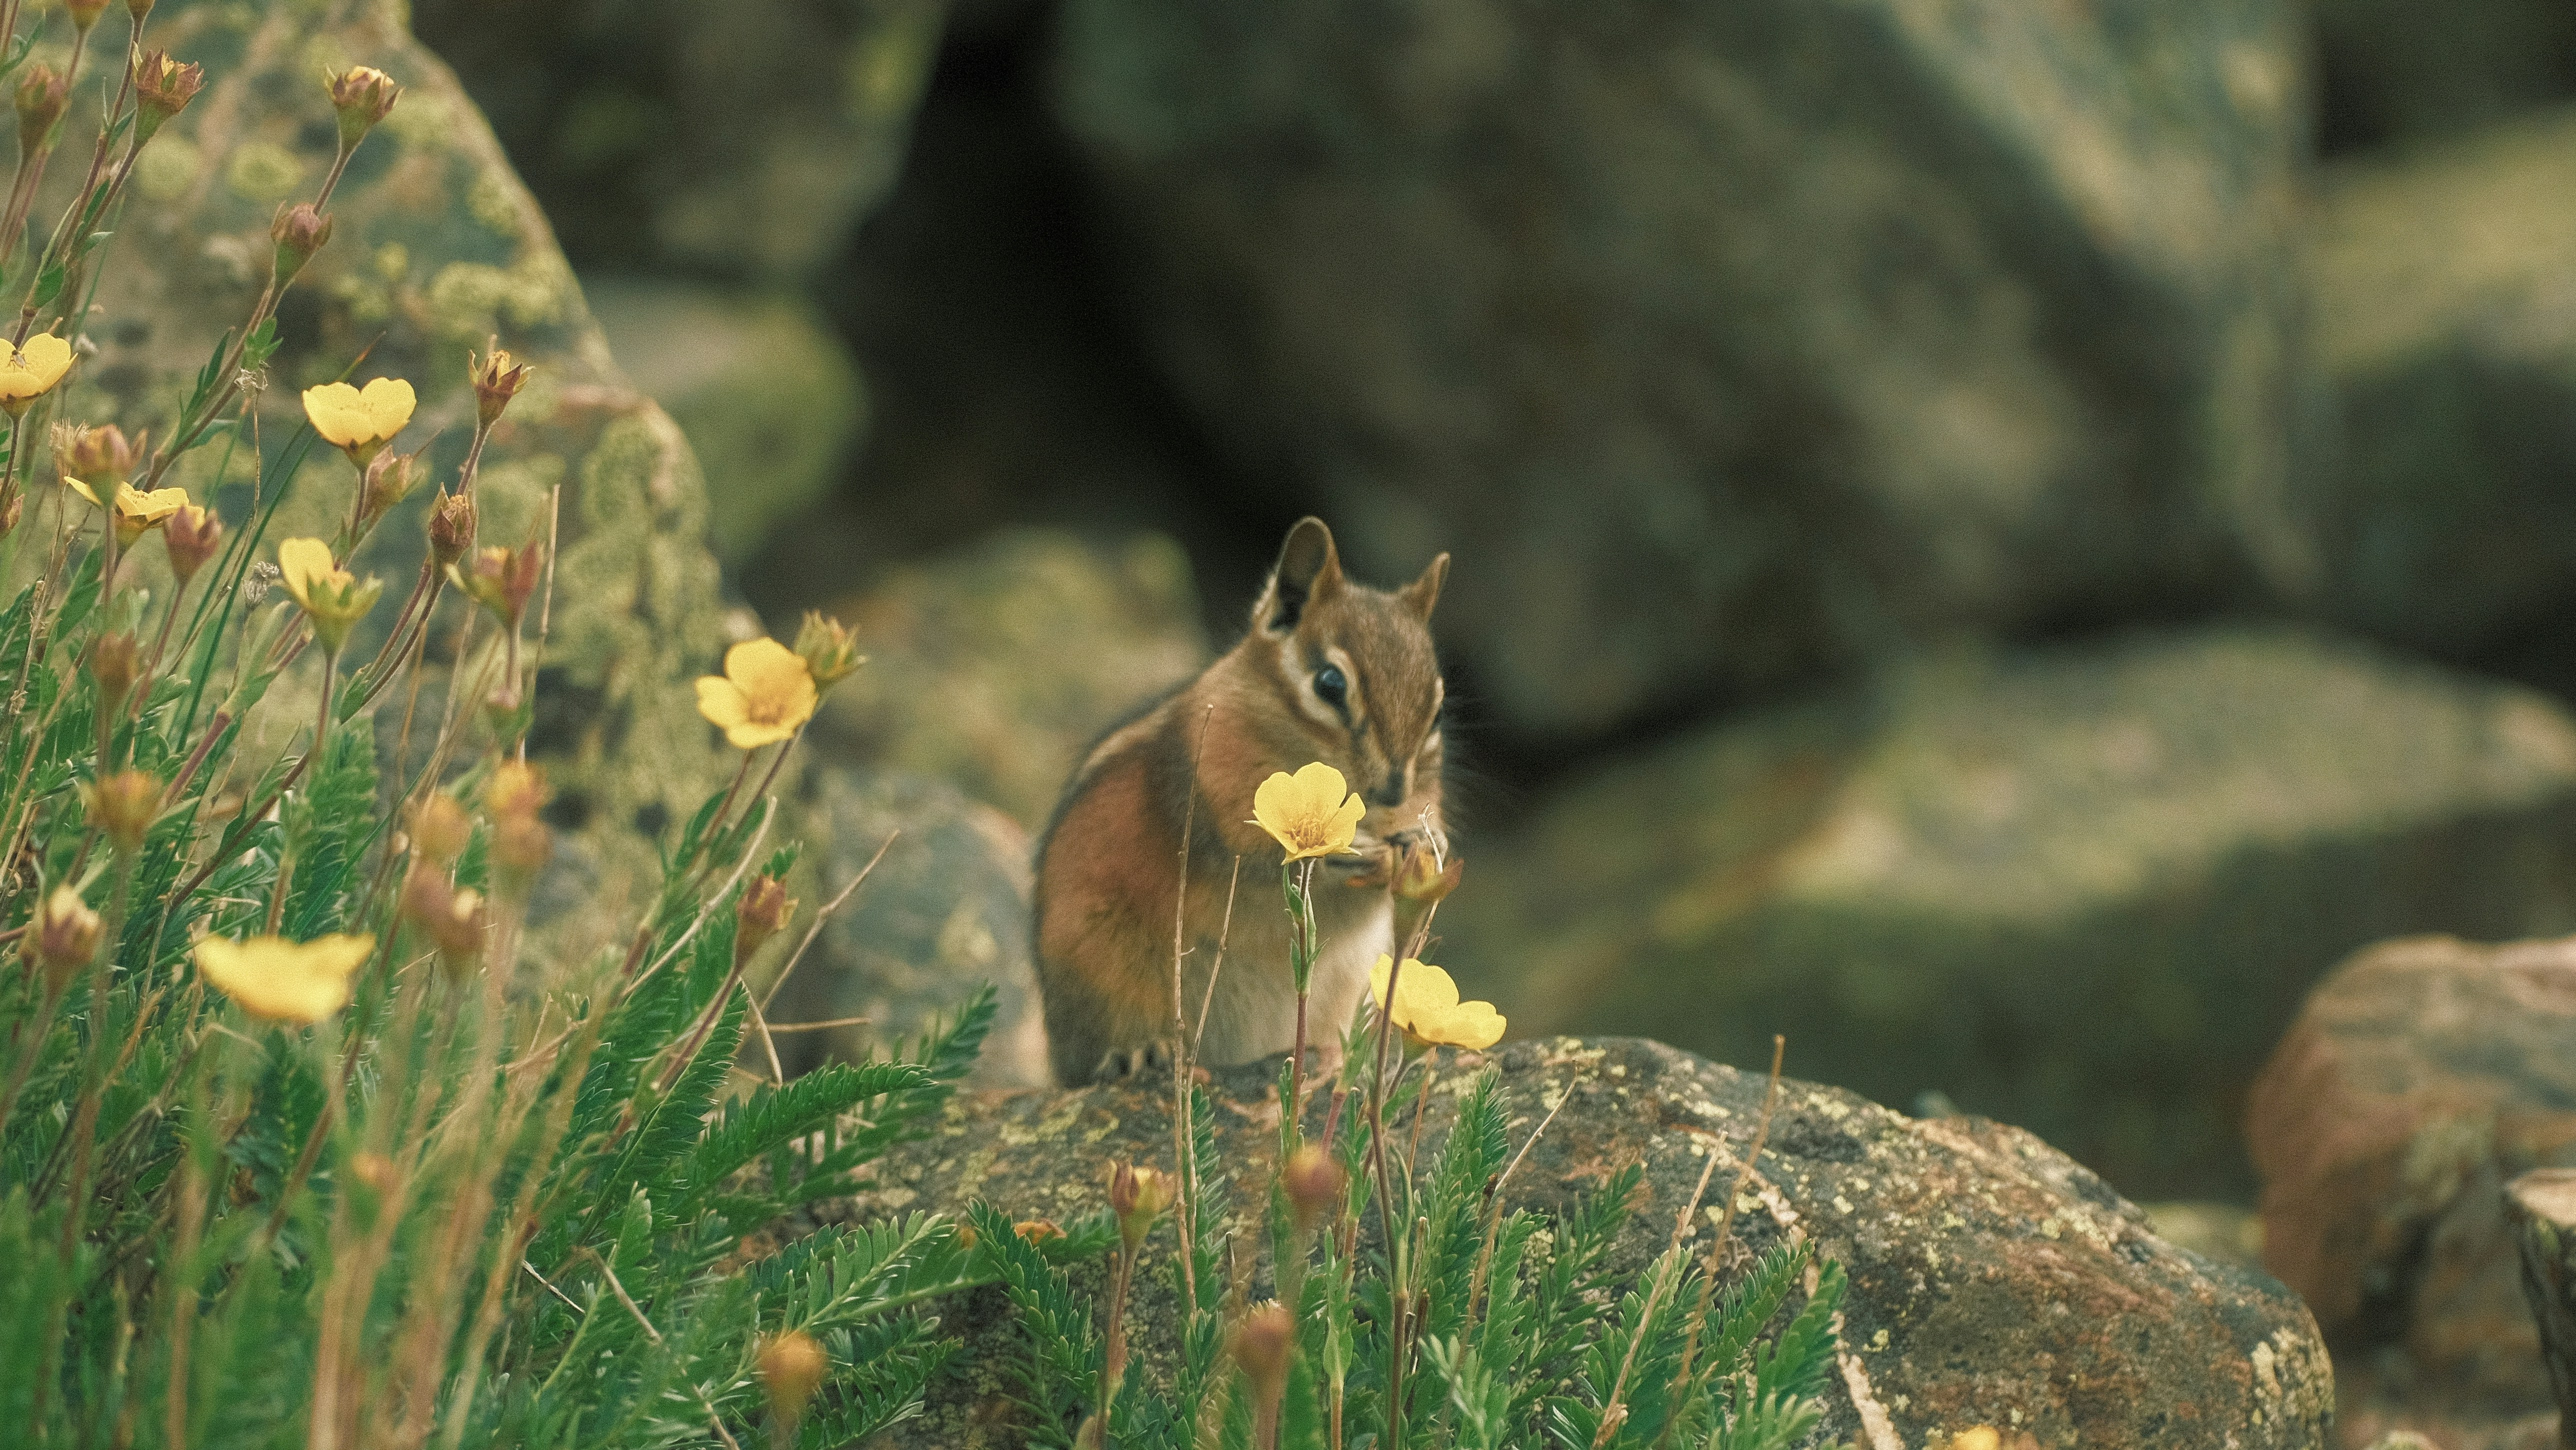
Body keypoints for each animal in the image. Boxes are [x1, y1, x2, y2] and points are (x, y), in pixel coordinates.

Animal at [1034, 517, 1451, 1087]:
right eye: (1330, 684)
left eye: (1437, 712)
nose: (1393, 790)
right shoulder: (1213, 800)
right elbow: (1253, 858)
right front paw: (1347, 855)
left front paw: (1428, 844)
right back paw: (1138, 1052)